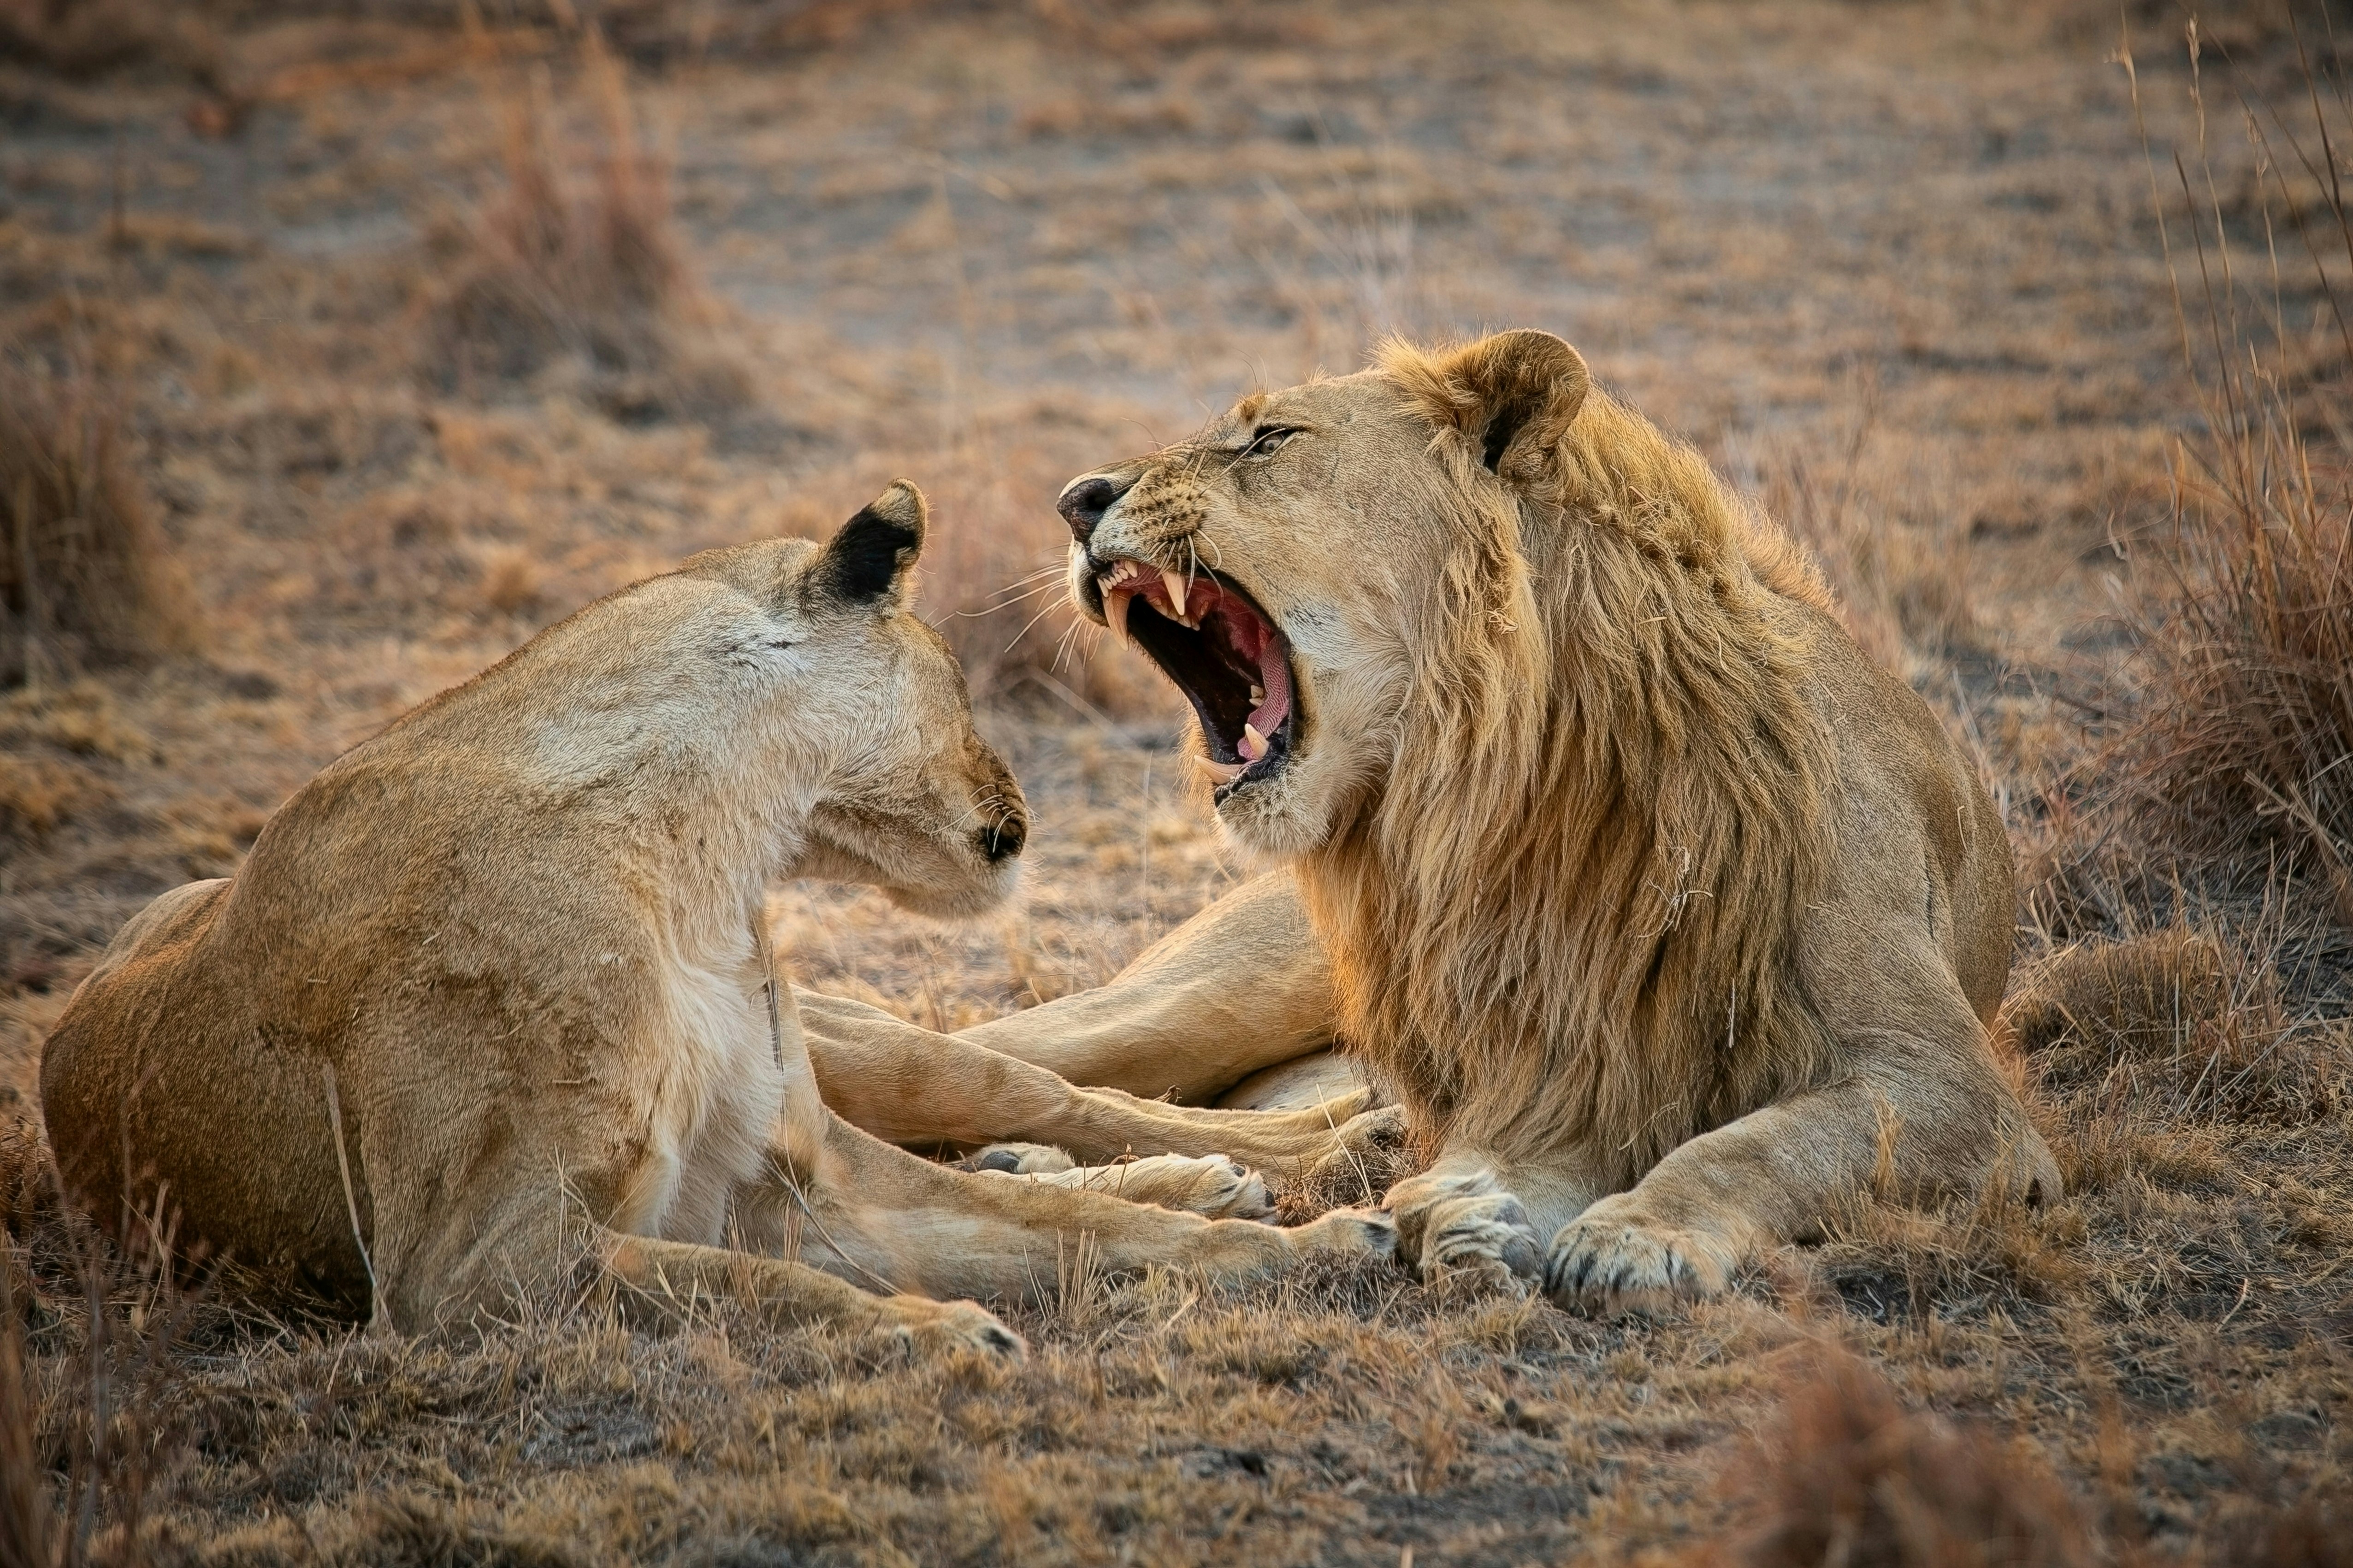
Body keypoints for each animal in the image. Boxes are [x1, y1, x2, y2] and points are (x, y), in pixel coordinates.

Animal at [37, 482, 1392, 1348]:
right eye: (958, 678)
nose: (1019, 808)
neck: (700, 865)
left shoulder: (794, 1172)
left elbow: (1074, 1222)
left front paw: (1322, 1248)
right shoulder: (461, 1275)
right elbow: (732, 1284)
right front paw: (940, 1330)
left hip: (867, 1048)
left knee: (1036, 1087)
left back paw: (1299, 1153)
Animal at [863, 329, 2060, 1314]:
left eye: (1269, 438)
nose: (1076, 498)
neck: (1501, 786)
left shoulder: (1949, 1085)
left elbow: (1759, 1144)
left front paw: (1617, 1233)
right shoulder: (1552, 1059)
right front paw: (1472, 1217)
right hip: (1195, 1000)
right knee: (969, 1058)